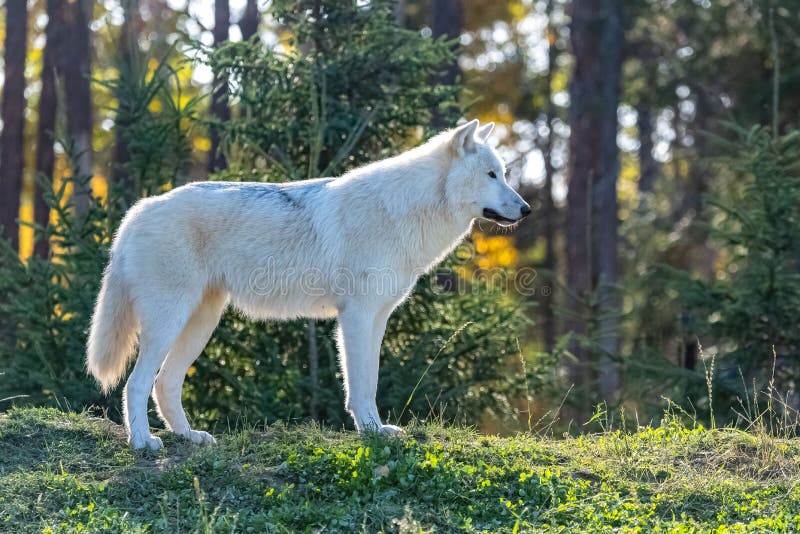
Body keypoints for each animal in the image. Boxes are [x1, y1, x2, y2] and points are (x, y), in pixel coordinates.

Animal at [86, 119, 531, 449]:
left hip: (200, 324)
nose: (526, 209)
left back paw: (189, 437)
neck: (403, 211)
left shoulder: (377, 319)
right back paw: (143, 444)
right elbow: (360, 385)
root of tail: (137, 211)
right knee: (136, 384)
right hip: (170, 322)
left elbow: (370, 380)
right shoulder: (356, 317)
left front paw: (377, 429)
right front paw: (371, 432)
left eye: (505, 175)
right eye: (491, 175)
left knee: (164, 384)